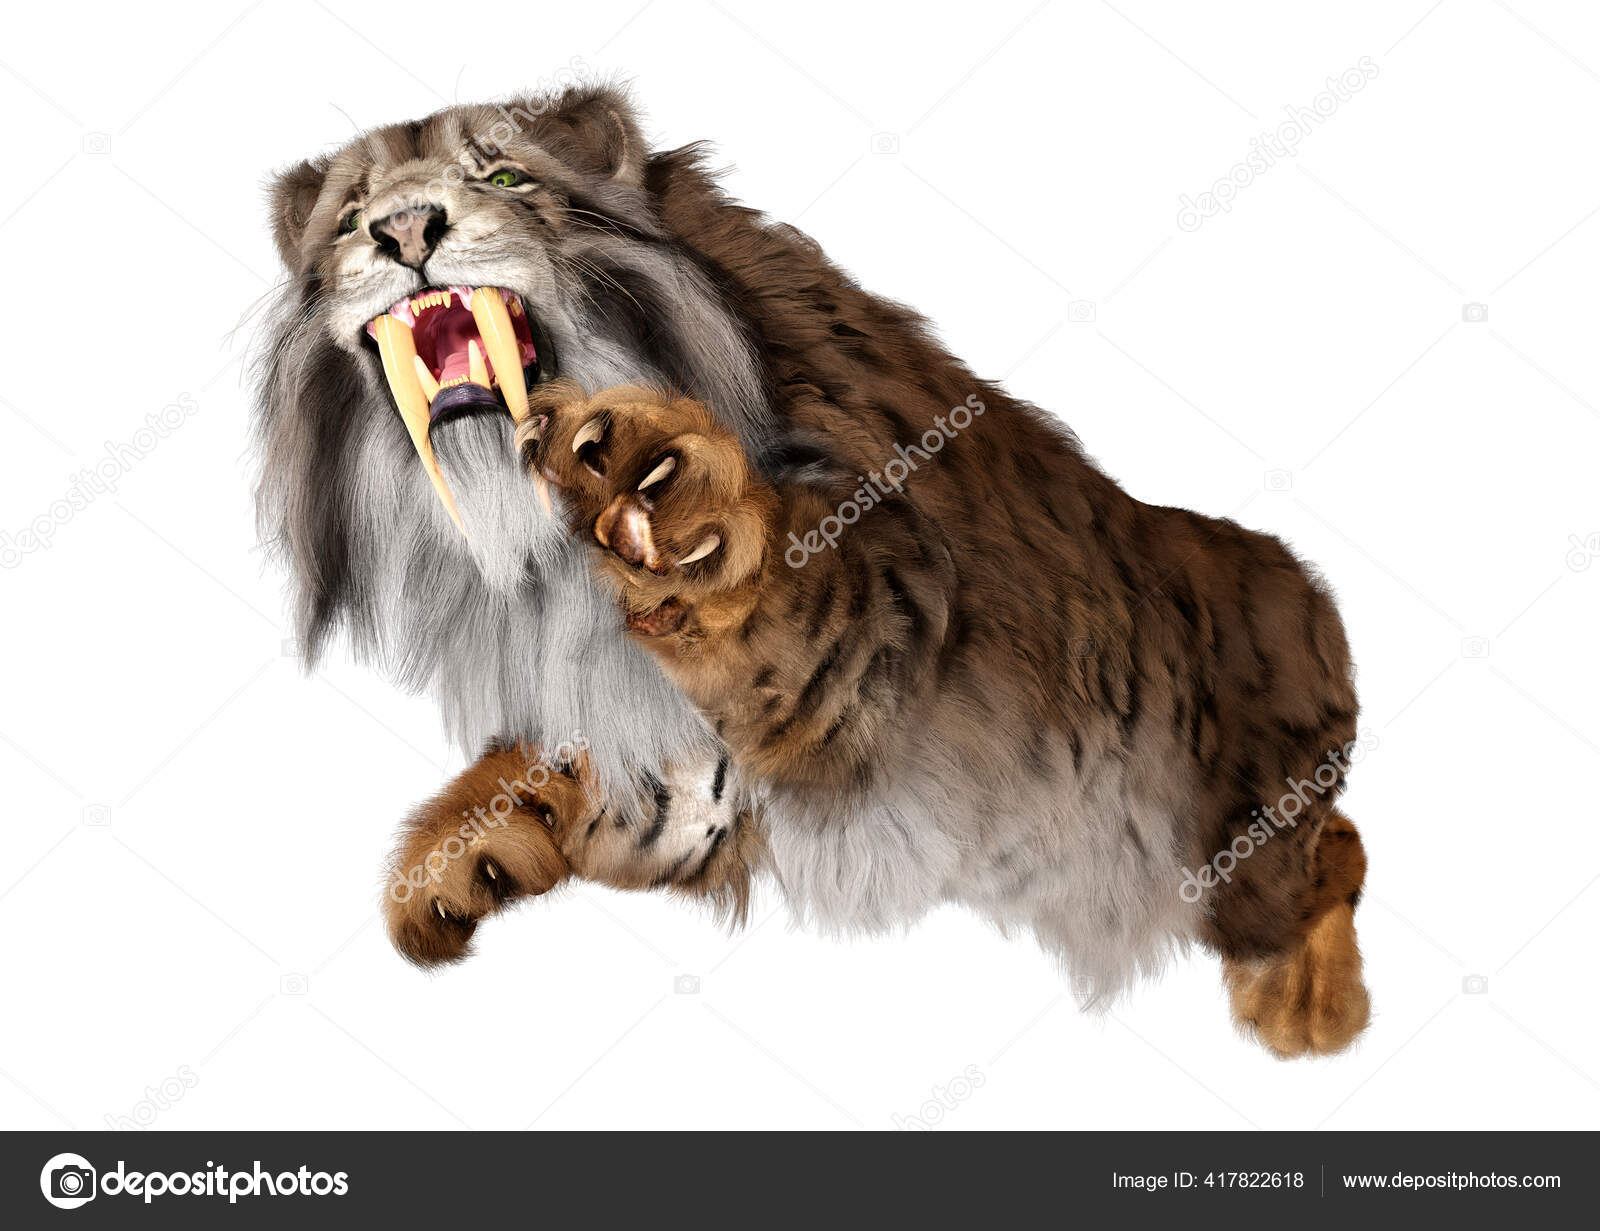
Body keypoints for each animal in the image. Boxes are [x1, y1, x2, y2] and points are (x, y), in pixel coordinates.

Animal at [257, 83, 1370, 1058]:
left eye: (503, 176)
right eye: (350, 218)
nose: (404, 230)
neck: (536, 555)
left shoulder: (867, 663)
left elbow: (767, 588)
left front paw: (654, 477)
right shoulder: (684, 788)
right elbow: (571, 781)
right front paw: (450, 860)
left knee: (1330, 857)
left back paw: (1309, 1006)